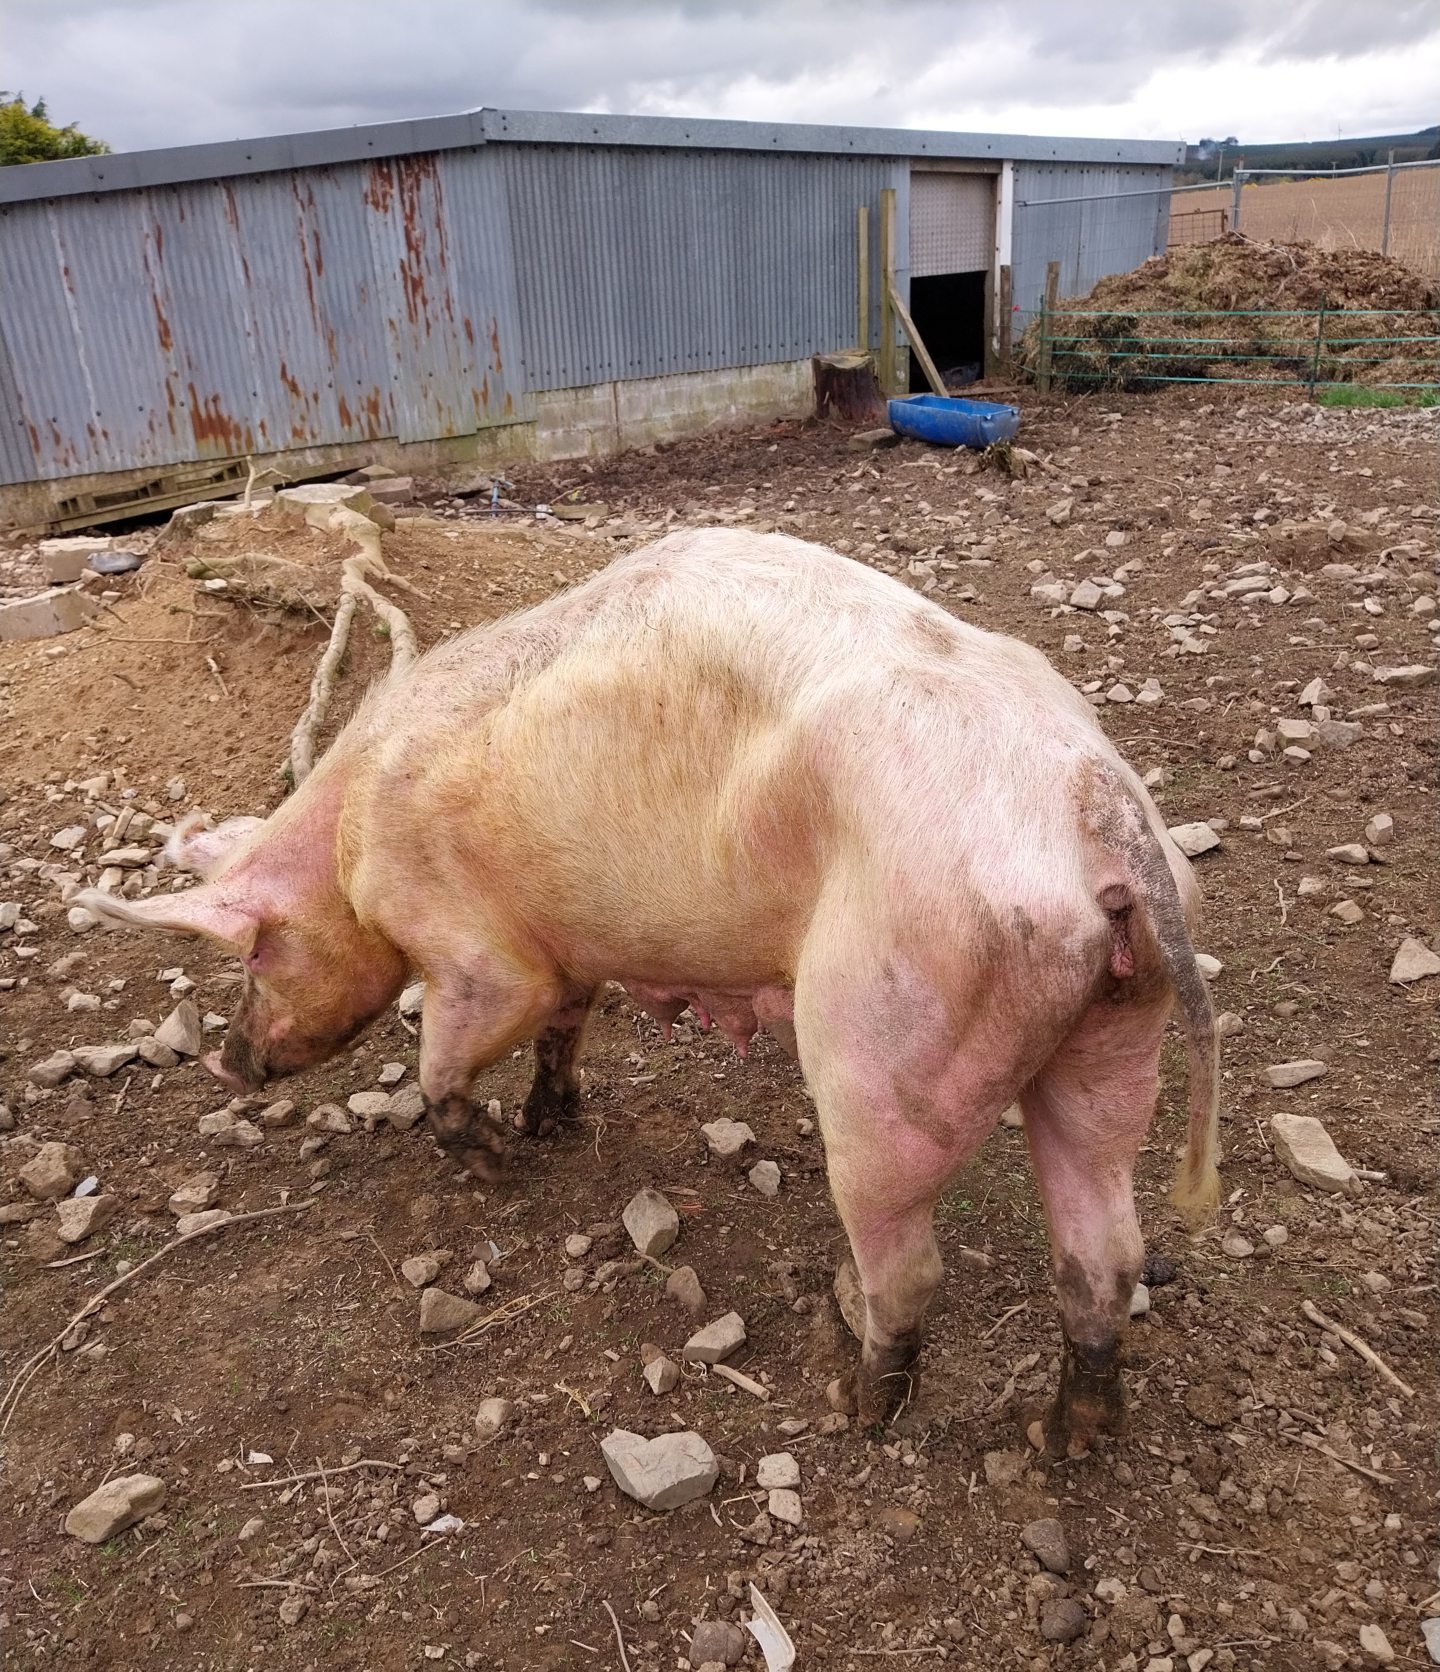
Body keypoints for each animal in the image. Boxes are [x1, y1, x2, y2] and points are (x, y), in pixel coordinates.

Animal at [78, 527, 1219, 1451]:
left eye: (253, 955)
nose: (227, 1062)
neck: (352, 836)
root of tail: (1099, 813)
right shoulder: (572, 954)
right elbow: (565, 1028)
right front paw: (547, 1124)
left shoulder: (477, 951)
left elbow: (455, 1054)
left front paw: (497, 1162)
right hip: (1116, 1031)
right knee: (1105, 1250)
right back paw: (1061, 1439)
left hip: (887, 1038)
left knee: (911, 1263)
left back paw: (851, 1404)